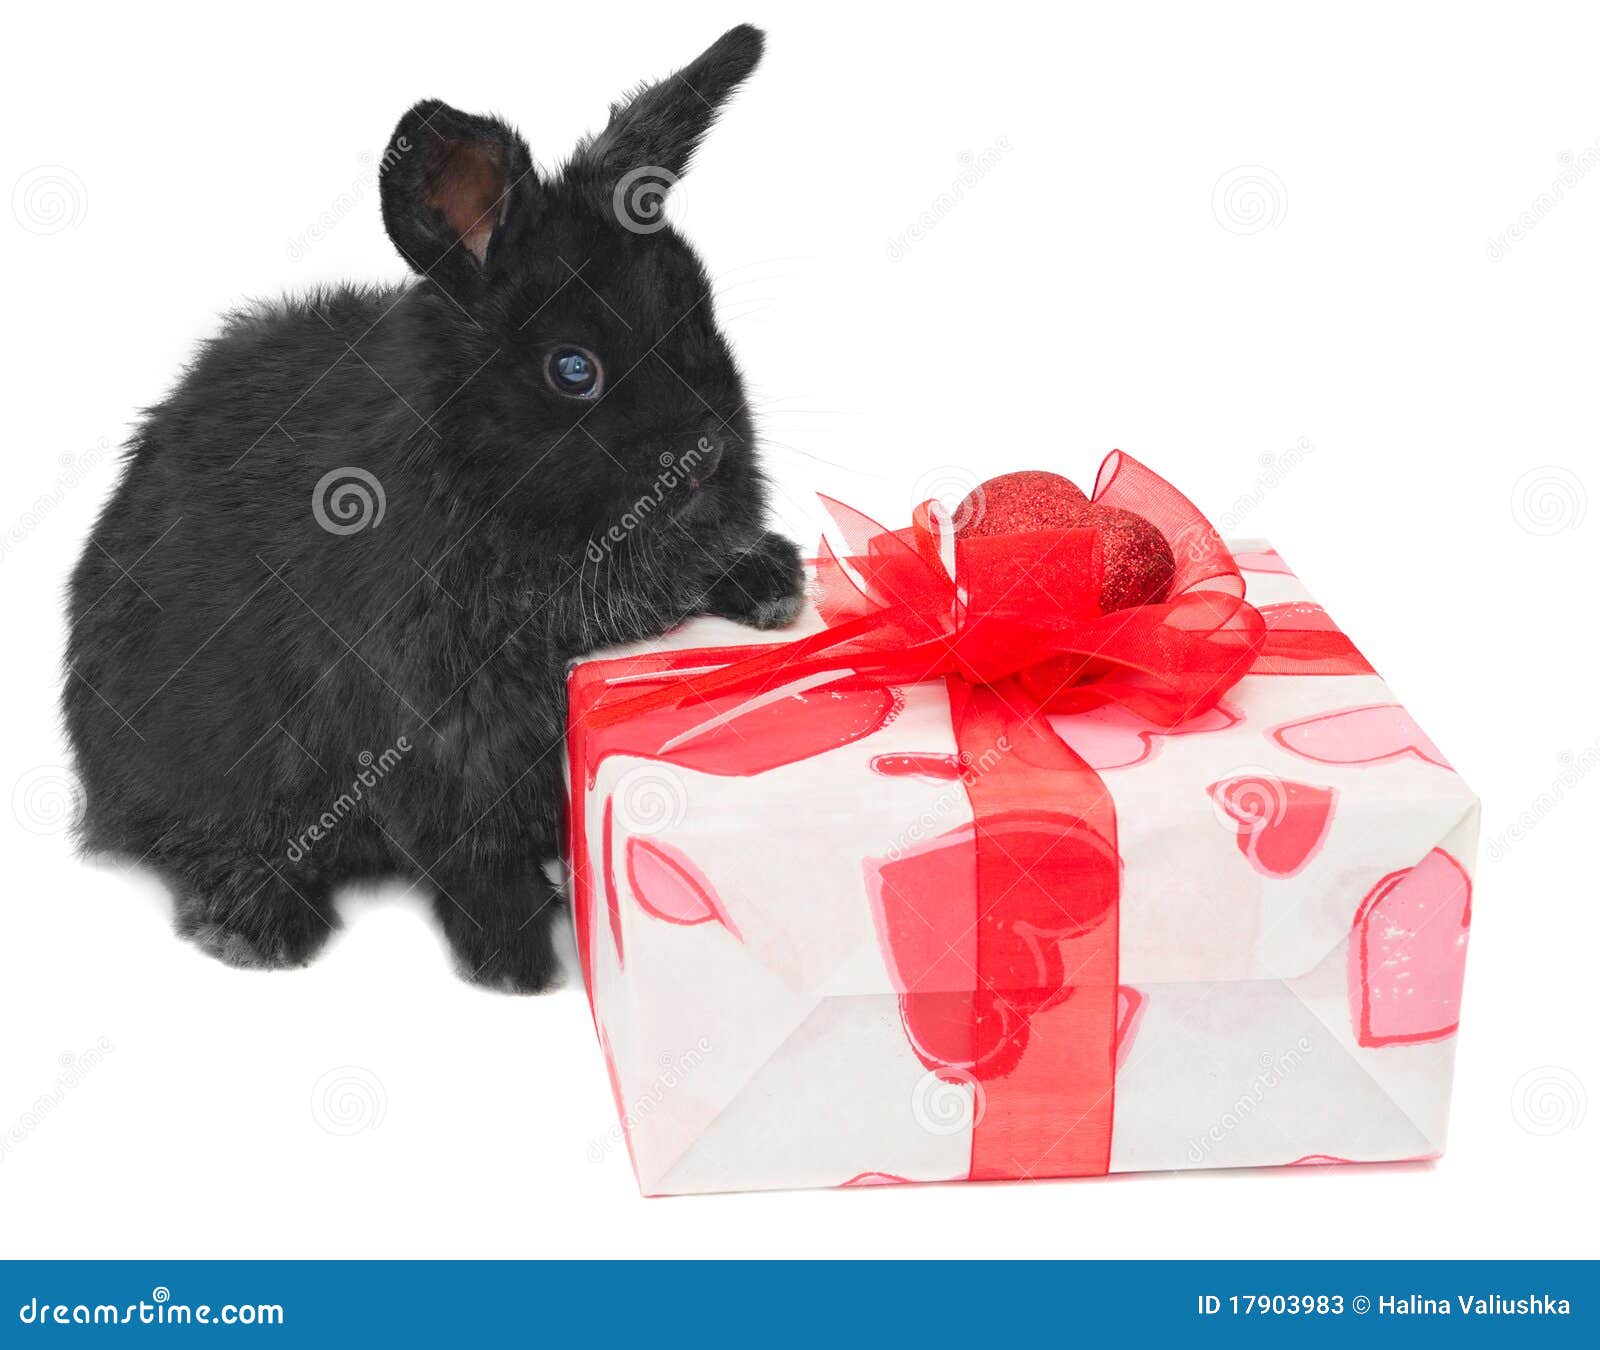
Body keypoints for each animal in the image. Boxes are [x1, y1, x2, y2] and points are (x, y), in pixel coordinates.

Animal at [61, 24, 803, 993]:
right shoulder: (432, 734)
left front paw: (774, 581)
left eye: (703, 316)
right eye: (574, 370)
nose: (709, 458)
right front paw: (521, 970)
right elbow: (471, 857)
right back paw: (259, 928)